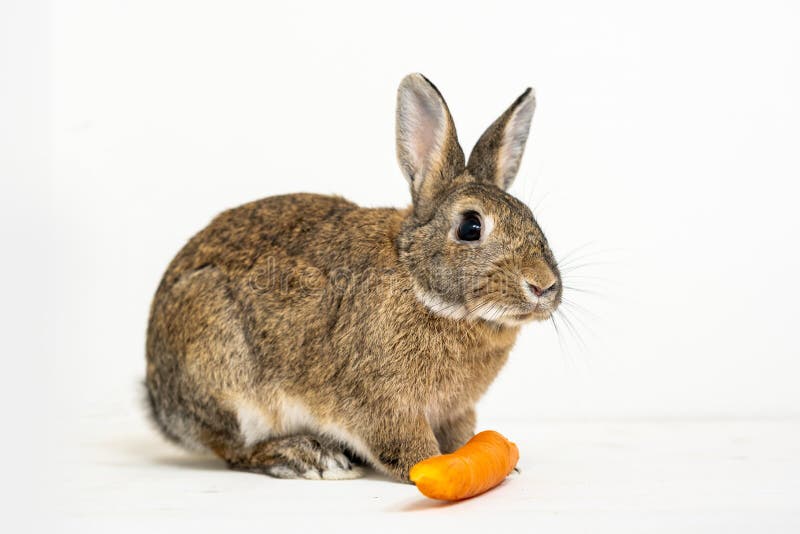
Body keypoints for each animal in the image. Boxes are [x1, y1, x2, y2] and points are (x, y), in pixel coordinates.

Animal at [145, 73, 562, 482]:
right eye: (471, 227)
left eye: (530, 217)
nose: (543, 285)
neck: (419, 282)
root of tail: (159, 402)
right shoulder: (384, 403)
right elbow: (406, 444)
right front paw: (429, 465)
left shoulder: (456, 410)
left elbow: (463, 436)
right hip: (226, 372)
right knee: (237, 451)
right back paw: (310, 456)